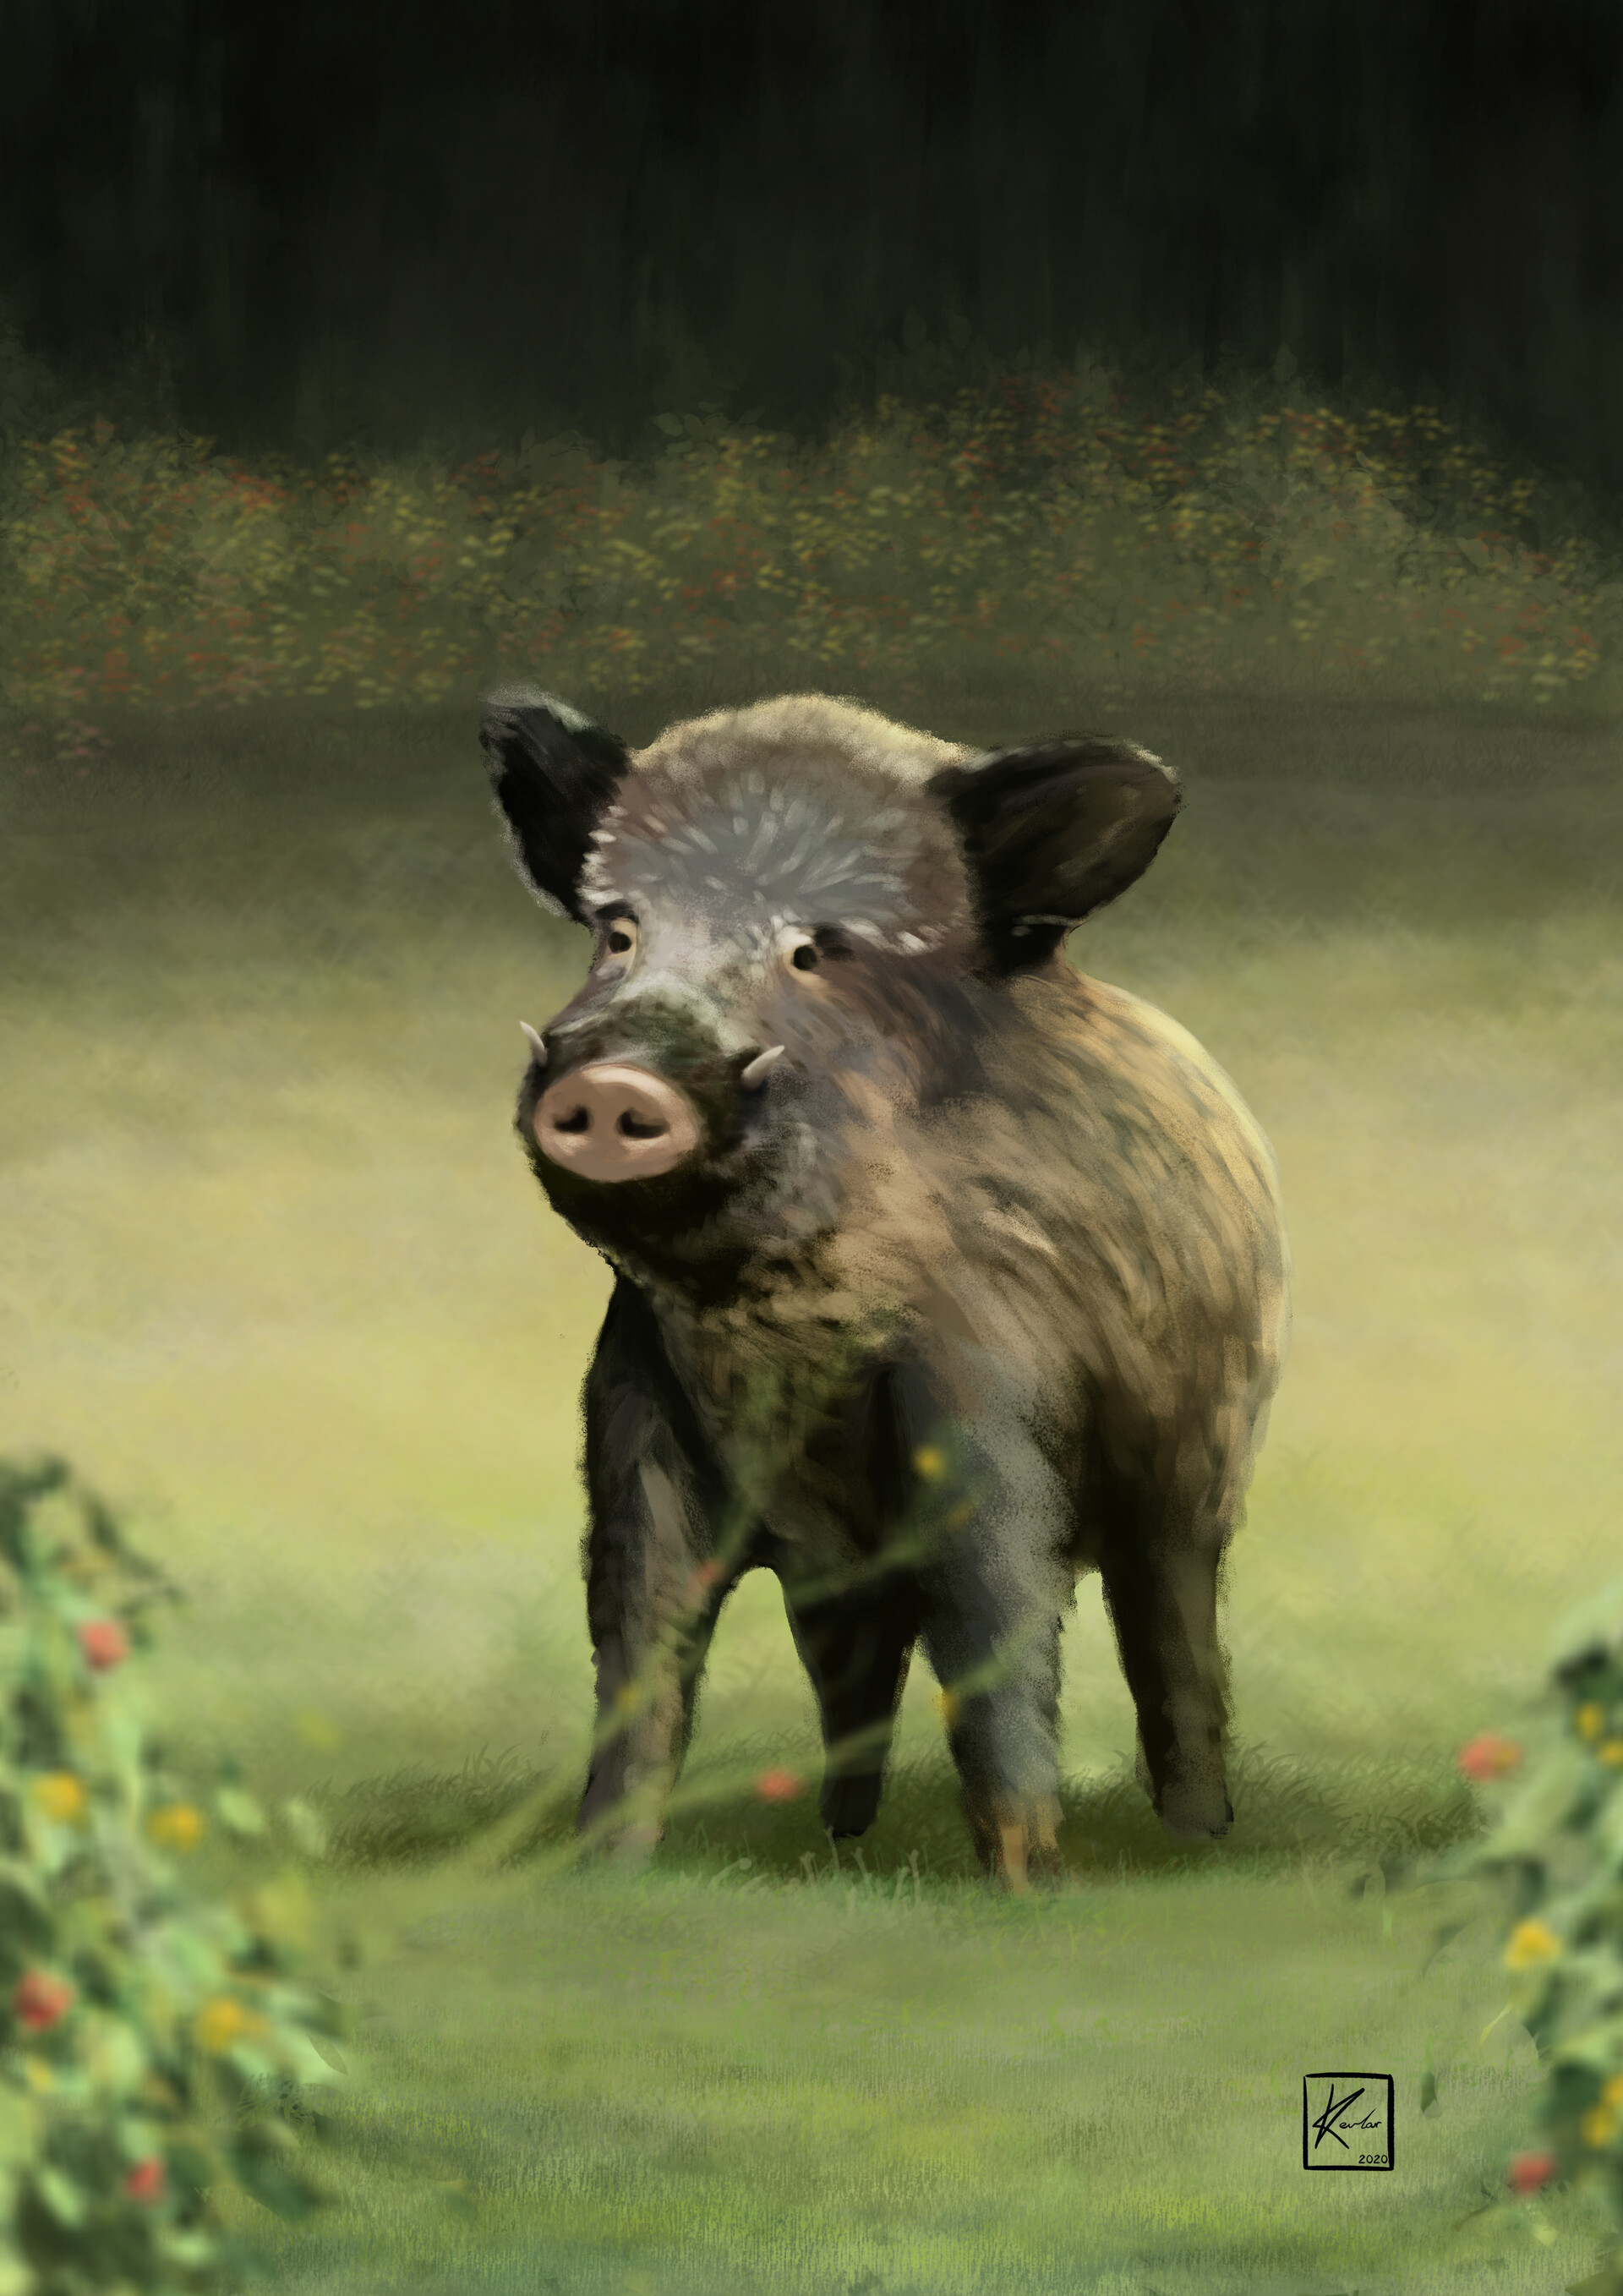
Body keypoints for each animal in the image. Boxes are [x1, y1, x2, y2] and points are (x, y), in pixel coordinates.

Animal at [480, 688, 1290, 1890]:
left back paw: (1197, 1833)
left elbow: (997, 1635)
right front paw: (602, 1875)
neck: (780, 1331)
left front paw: (1027, 1888)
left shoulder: (988, 1399)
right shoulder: (632, 1411)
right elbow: (640, 1644)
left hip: (1194, 1472)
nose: (620, 1082)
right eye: (617, 932)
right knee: (852, 1671)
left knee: (1173, 1633)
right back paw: (840, 1831)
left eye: (816, 949)